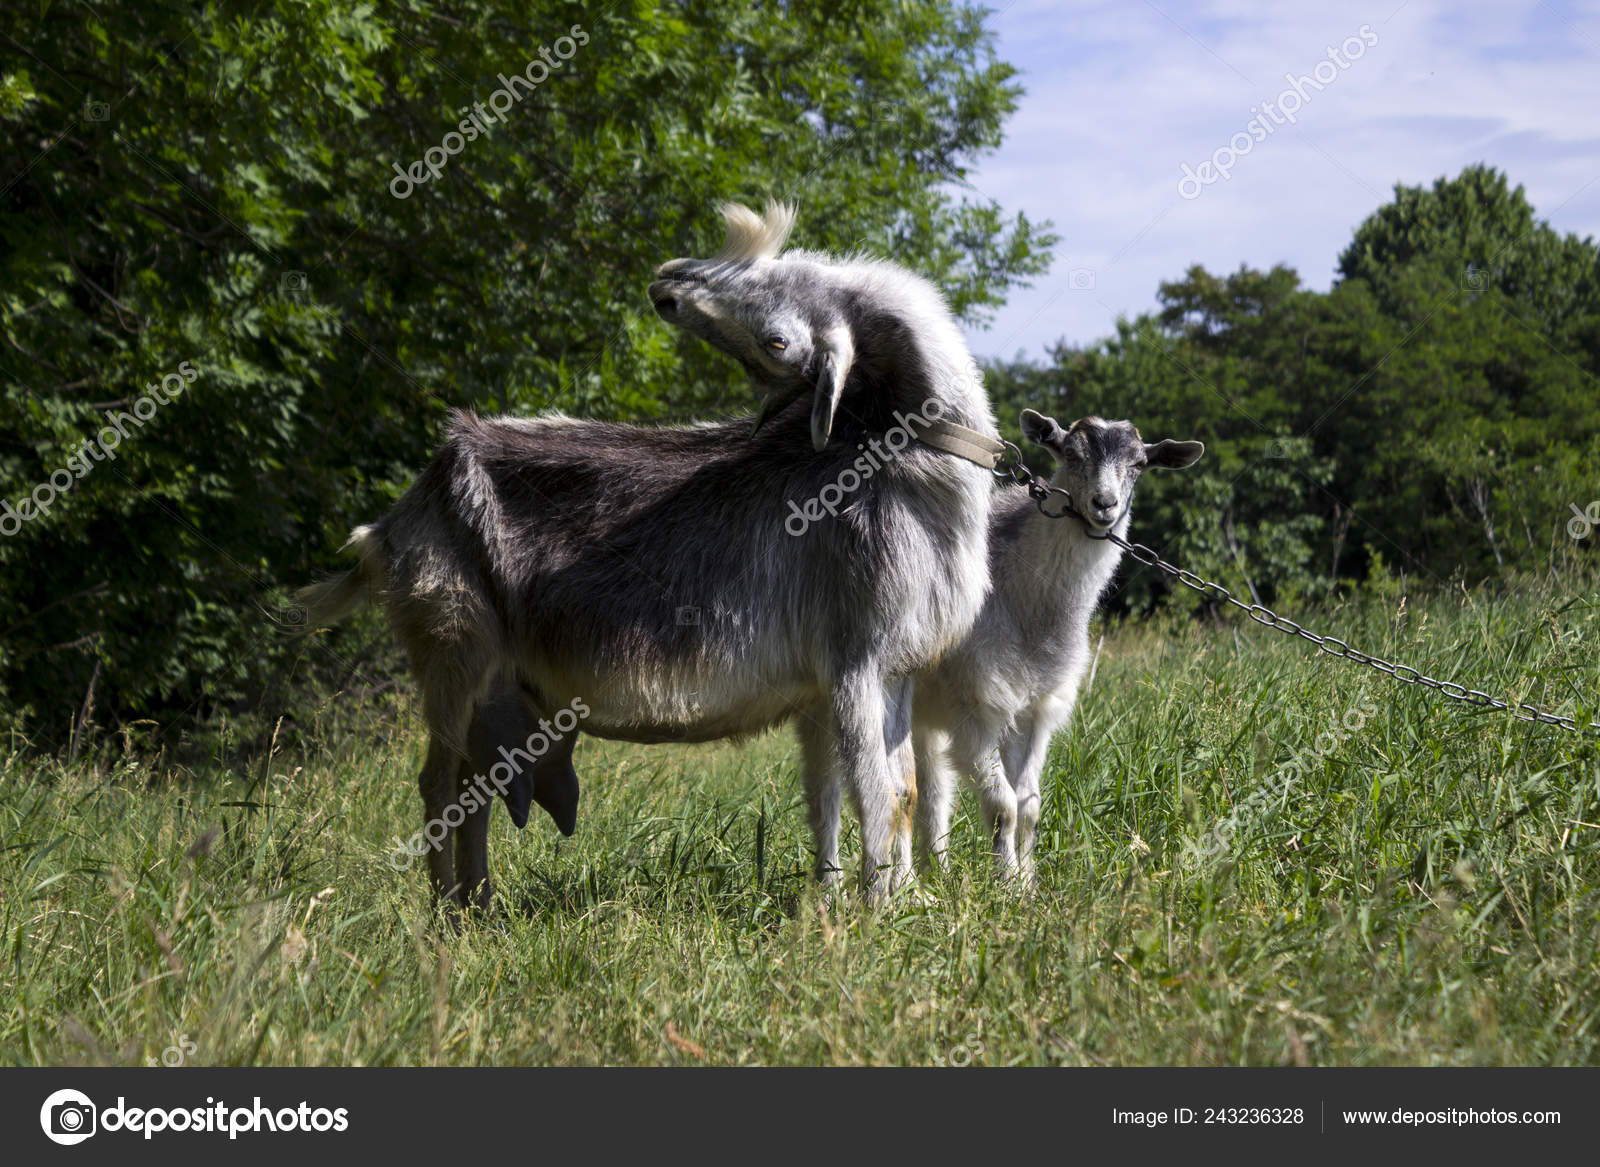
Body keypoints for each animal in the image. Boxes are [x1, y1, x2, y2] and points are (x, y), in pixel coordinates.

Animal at [298, 203, 1001, 910]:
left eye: (774, 345)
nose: (666, 291)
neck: (907, 462)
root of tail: (394, 520)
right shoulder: (855, 661)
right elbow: (875, 791)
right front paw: (879, 908)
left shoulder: (886, 668)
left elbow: (896, 788)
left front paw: (891, 901)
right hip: (453, 647)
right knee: (440, 785)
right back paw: (449, 913)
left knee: (474, 786)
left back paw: (478, 906)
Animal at [911, 408, 1203, 883]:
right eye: (1071, 453)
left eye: (1140, 464)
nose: (1105, 505)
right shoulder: (978, 706)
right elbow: (1003, 806)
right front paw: (1006, 884)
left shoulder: (1034, 709)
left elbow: (1028, 806)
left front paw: (1028, 883)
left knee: (934, 788)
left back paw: (938, 870)